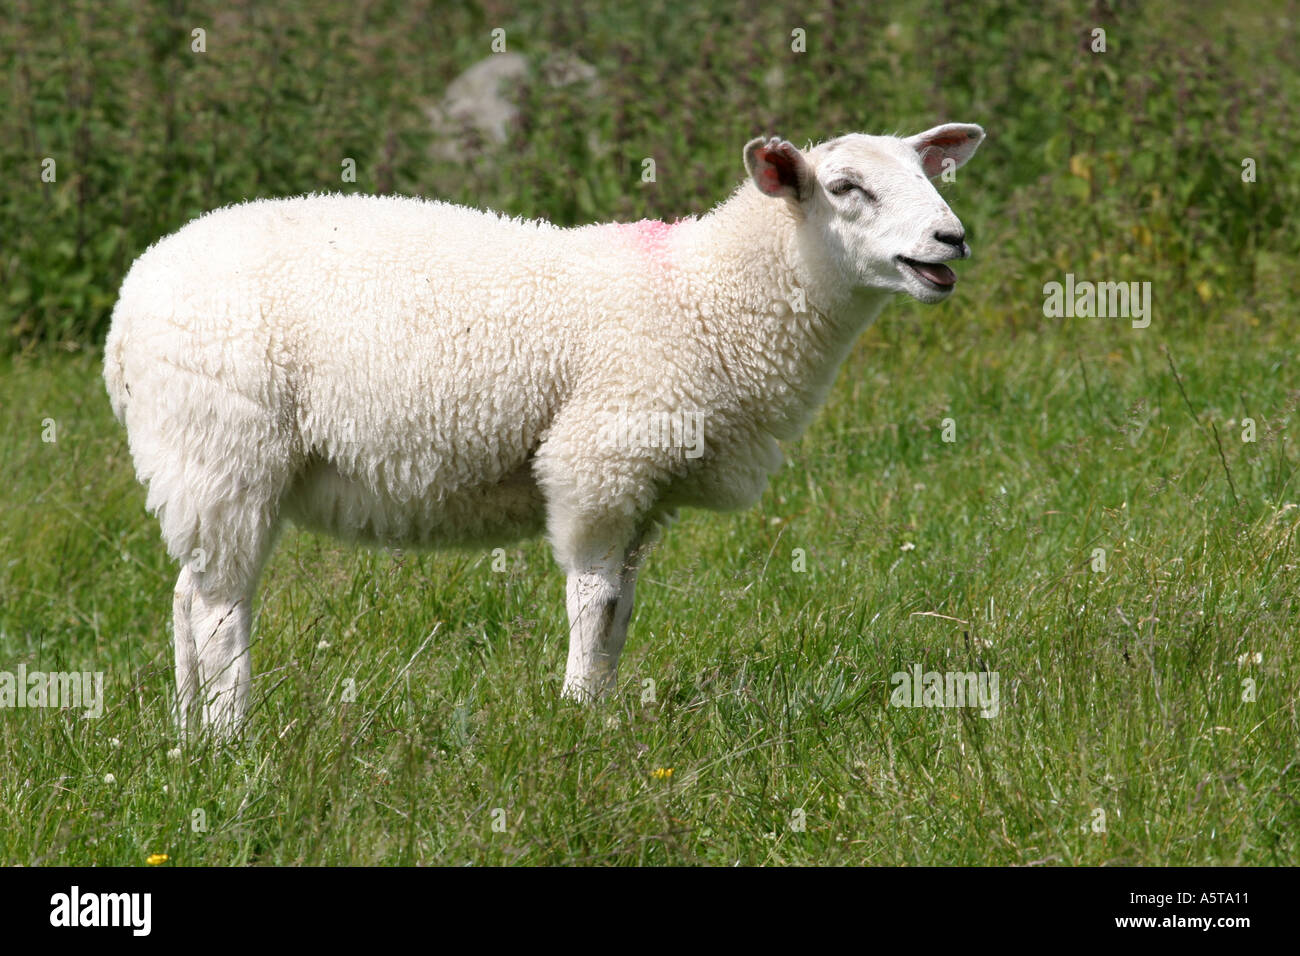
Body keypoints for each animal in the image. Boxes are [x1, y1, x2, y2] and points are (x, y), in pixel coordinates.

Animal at [103, 123, 985, 733]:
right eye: (844, 186)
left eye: (924, 174)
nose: (953, 239)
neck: (710, 295)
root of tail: (129, 302)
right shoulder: (600, 461)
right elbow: (593, 601)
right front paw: (577, 716)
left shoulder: (645, 491)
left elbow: (623, 609)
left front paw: (602, 704)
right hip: (225, 450)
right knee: (220, 611)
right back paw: (232, 735)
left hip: (199, 470)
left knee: (188, 597)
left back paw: (188, 732)